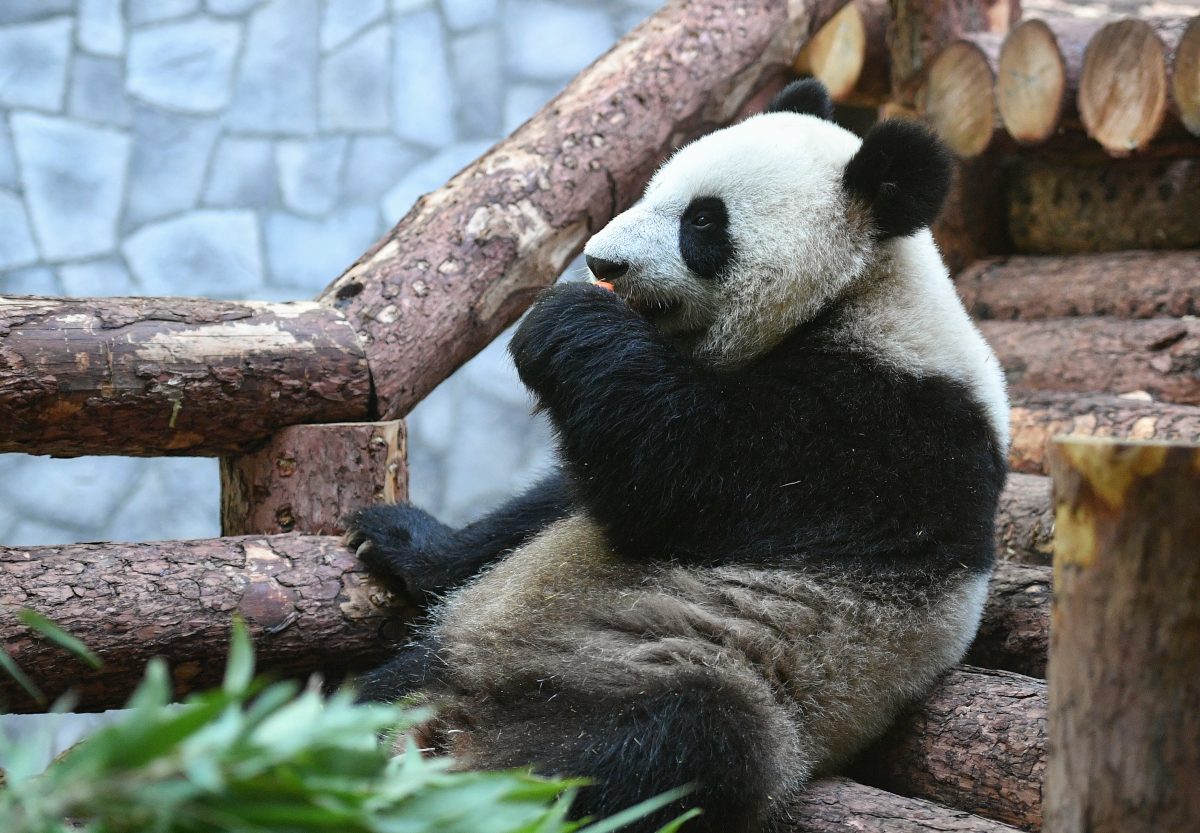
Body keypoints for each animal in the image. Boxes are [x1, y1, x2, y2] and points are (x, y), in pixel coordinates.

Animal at [344, 79, 1010, 833]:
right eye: (652, 187)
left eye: (703, 222)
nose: (602, 262)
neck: (860, 291)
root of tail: (460, 717)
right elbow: (554, 503)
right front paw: (403, 539)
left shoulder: (889, 433)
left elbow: (683, 478)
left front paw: (564, 318)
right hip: (463, 639)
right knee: (368, 692)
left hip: (705, 680)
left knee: (658, 744)